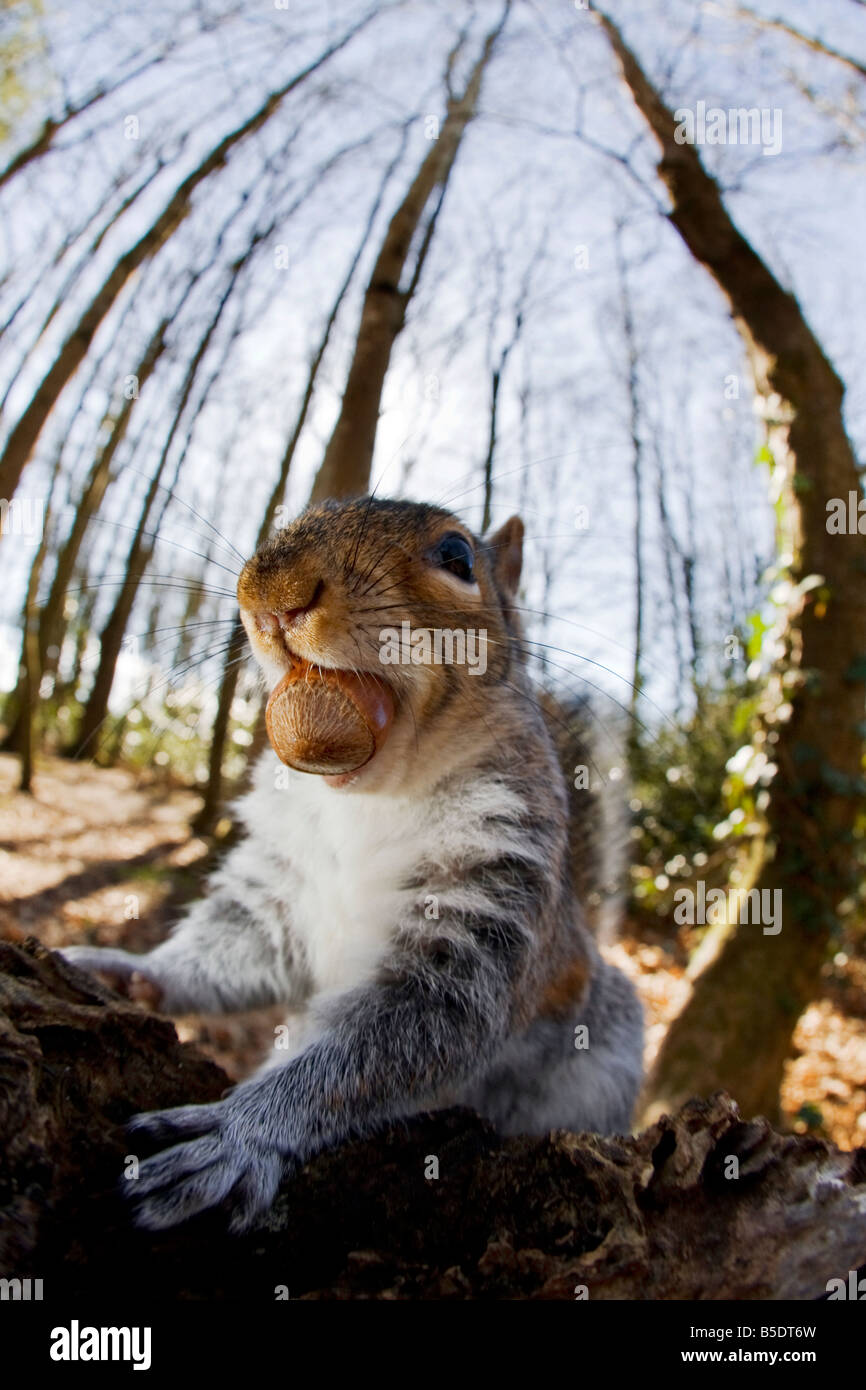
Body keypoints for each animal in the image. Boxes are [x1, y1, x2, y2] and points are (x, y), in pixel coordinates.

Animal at [60, 497, 644, 1232]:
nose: (271, 593)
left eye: (458, 557)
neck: (368, 802)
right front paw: (127, 969)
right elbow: (234, 948)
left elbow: (386, 1048)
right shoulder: (278, 886)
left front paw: (239, 1134)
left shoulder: (484, 907)